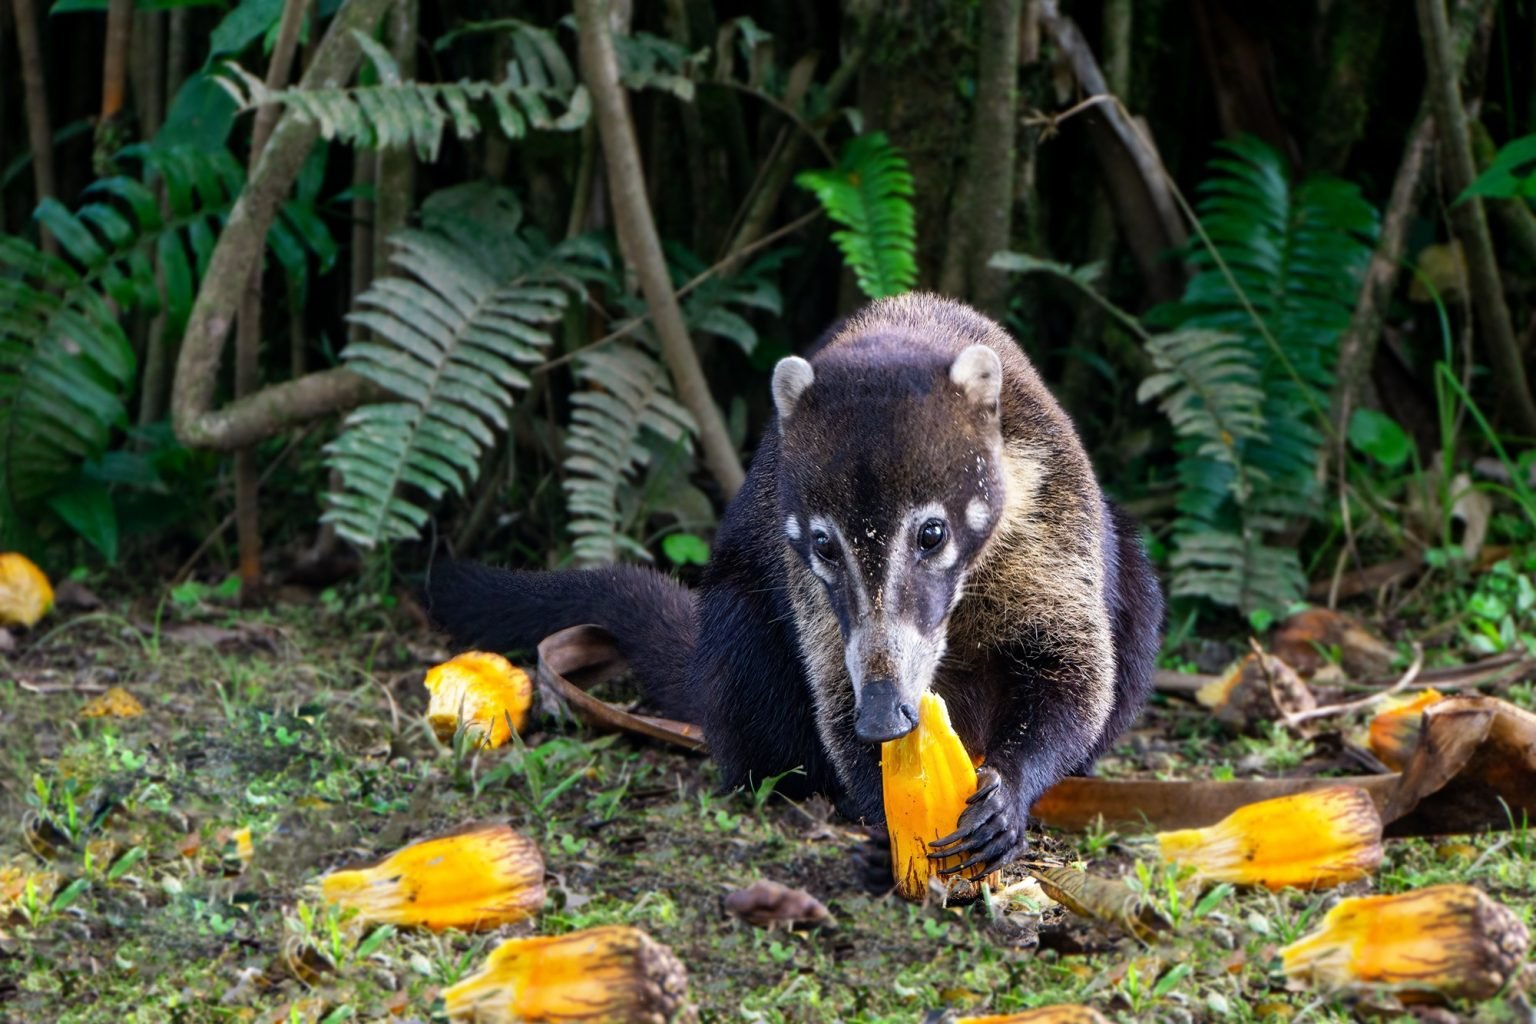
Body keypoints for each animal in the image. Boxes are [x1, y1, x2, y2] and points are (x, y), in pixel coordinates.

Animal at [427, 293, 1163, 877]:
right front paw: (879, 811)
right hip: (736, 630)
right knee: (740, 636)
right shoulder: (804, 575)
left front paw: (1012, 785)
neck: (907, 332)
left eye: (931, 535)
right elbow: (832, 689)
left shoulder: (1050, 506)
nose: (884, 716)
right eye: (824, 545)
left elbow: (1074, 669)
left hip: (1127, 569)